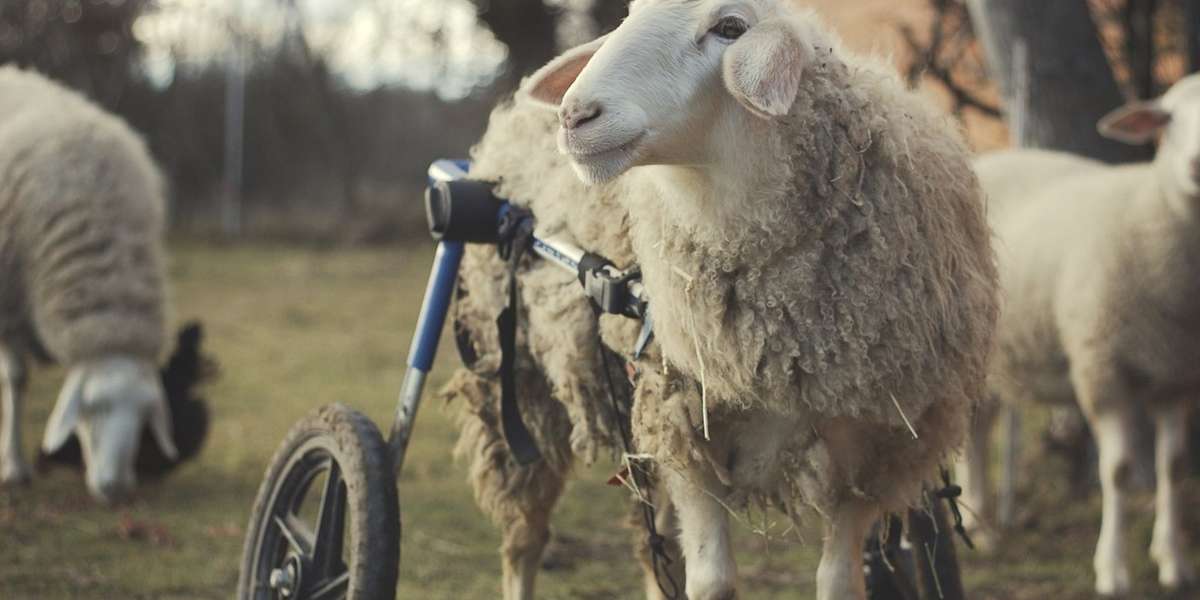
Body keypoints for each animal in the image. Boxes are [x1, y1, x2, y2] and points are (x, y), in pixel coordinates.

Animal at [0, 66, 180, 504]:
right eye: (93, 407)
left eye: (146, 413)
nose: (116, 490)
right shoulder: (9, 303)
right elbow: (16, 378)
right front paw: (14, 466)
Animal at [523, 1, 999, 599]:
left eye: (730, 27)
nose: (574, 115)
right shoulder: (684, 421)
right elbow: (712, 581)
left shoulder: (873, 451)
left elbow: (839, 580)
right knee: (528, 536)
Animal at [962, 73, 1200, 596]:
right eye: (1169, 119)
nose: (1196, 164)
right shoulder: (1102, 367)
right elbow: (1119, 471)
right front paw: (1112, 570)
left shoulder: (1178, 377)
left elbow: (1173, 468)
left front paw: (1173, 561)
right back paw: (977, 525)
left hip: (994, 364)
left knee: (979, 431)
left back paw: (982, 525)